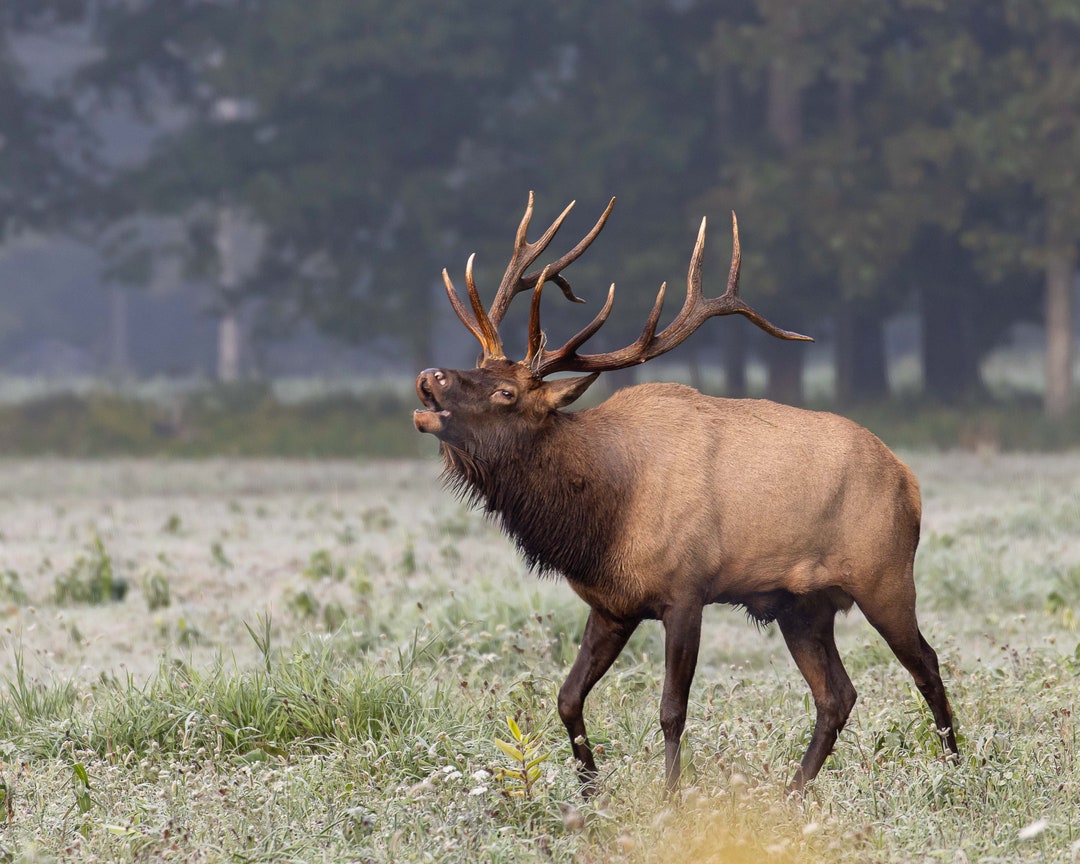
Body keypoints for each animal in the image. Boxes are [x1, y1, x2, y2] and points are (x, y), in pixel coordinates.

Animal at [413, 193, 958, 795]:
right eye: (478, 366)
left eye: (506, 392)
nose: (430, 376)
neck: (599, 518)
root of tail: (909, 480)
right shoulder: (612, 604)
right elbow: (567, 697)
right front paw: (590, 792)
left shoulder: (685, 592)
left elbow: (672, 711)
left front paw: (672, 797)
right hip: (803, 606)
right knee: (837, 695)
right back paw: (793, 794)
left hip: (884, 576)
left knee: (927, 665)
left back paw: (957, 773)